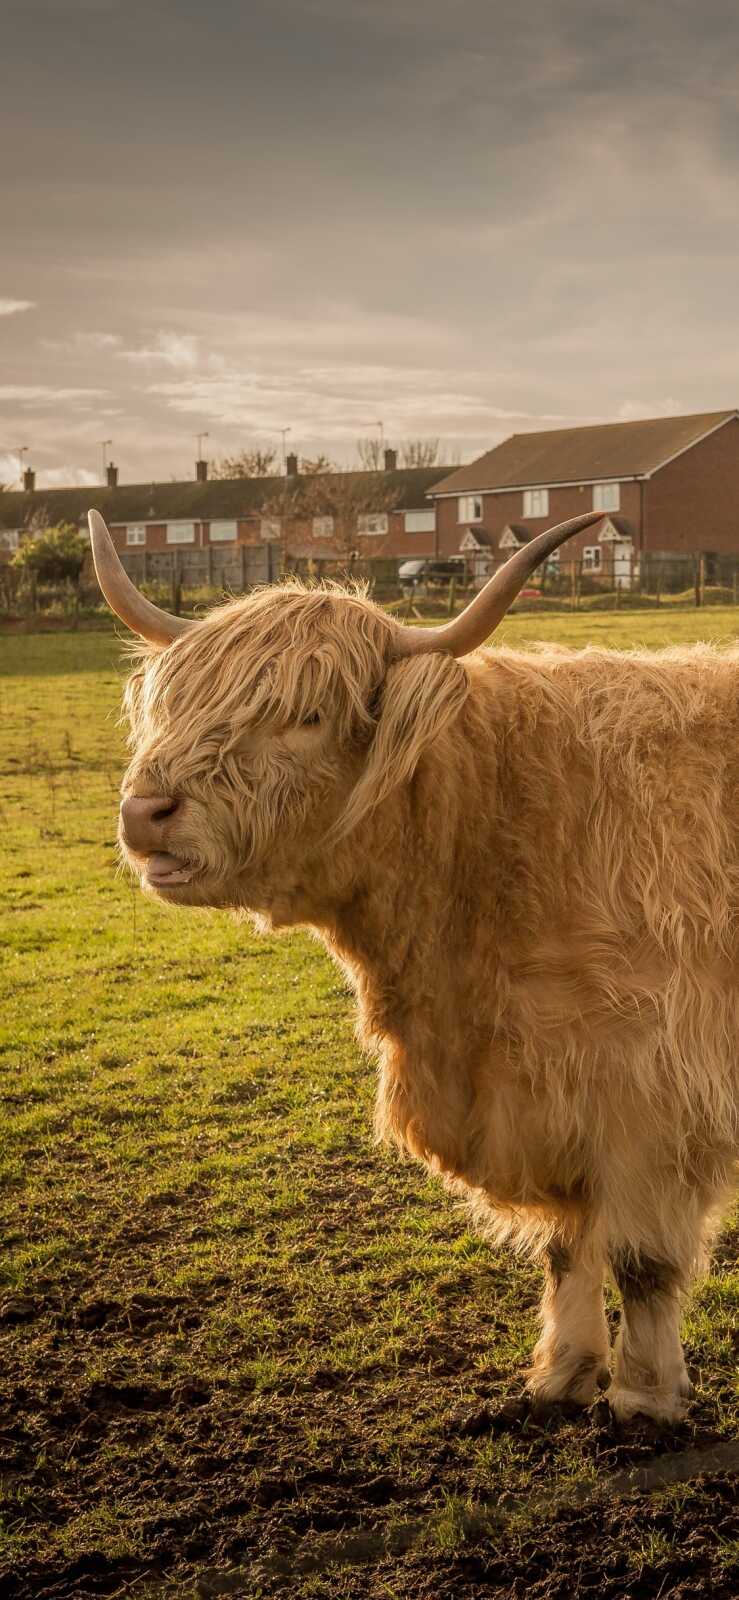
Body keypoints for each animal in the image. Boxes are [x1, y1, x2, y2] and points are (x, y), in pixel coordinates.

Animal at [88, 507, 738, 1426]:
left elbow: (642, 1260)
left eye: (306, 714)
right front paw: (560, 1375)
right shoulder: (540, 1093)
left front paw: (643, 1397)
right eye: (175, 704)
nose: (145, 811)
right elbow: (565, 1245)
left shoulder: (652, 1086)